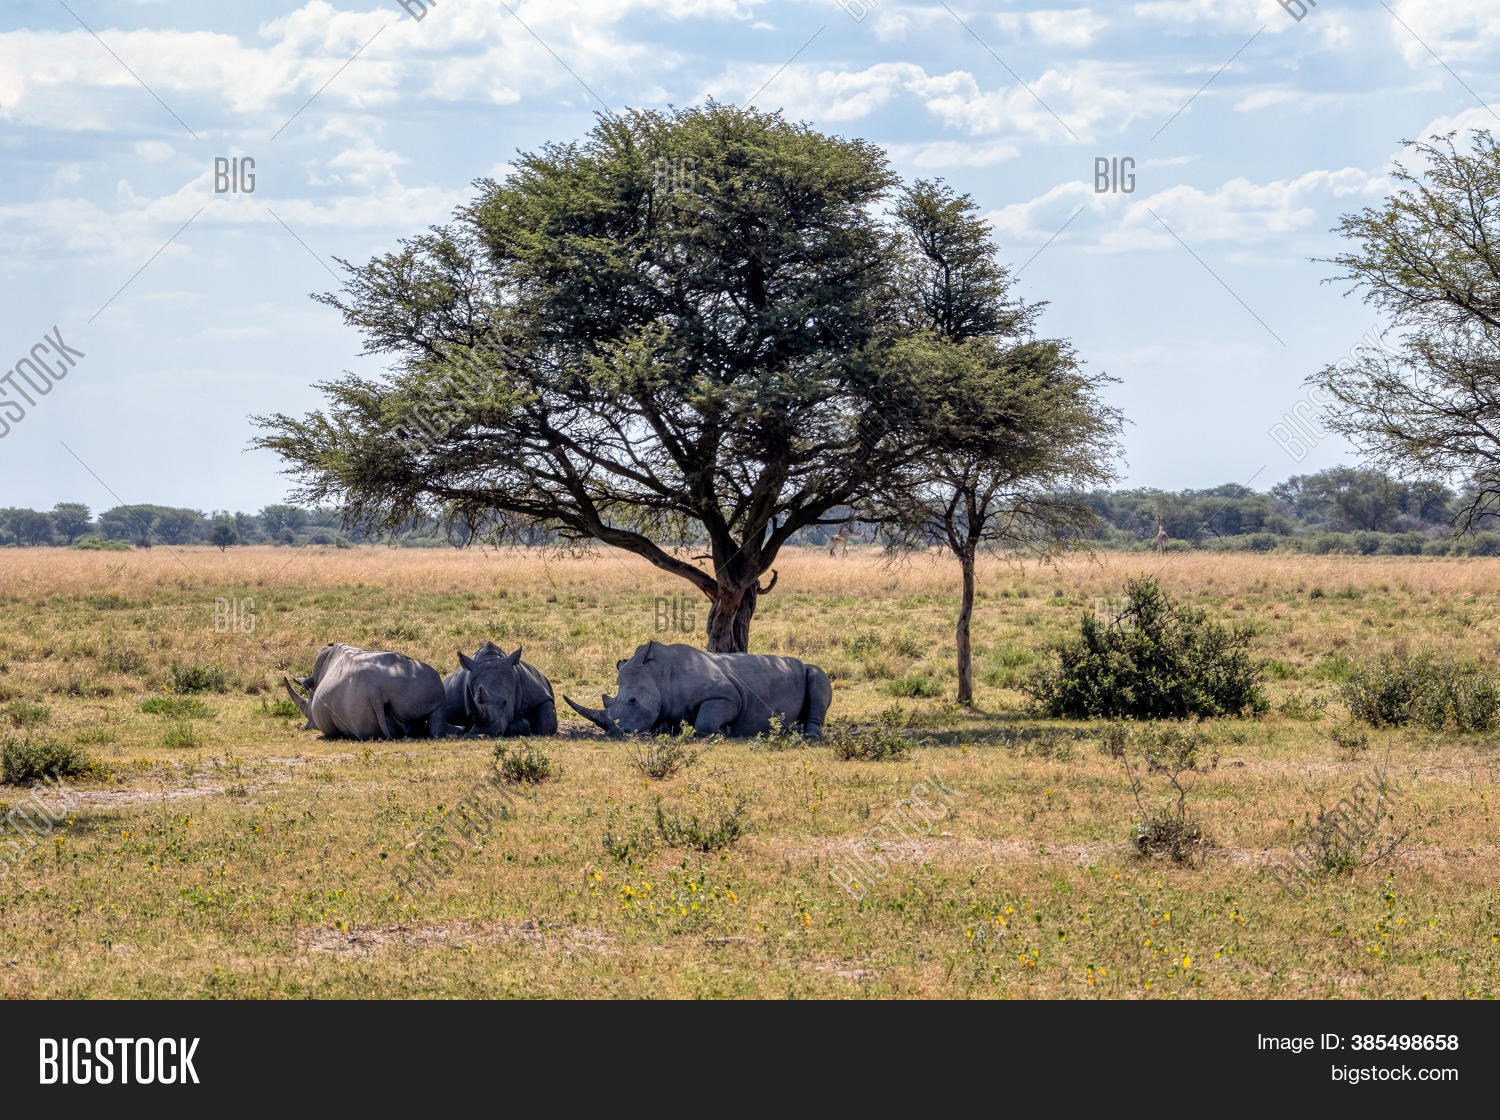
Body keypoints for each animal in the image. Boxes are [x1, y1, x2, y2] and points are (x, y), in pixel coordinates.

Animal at [565, 641, 831, 739]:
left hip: (810, 669)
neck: (659, 674)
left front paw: (723, 732)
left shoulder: (727, 696)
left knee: (817, 675)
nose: (616, 732)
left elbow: (705, 723)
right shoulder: (667, 707)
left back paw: (808, 736)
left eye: (633, 700)